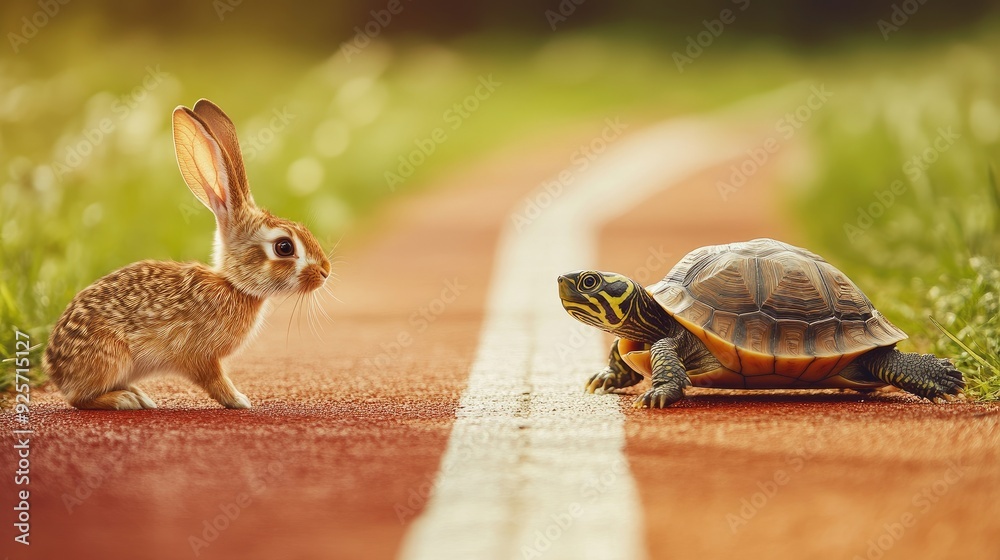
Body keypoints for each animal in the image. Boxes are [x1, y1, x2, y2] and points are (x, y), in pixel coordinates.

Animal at [42, 99, 331, 410]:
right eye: (284, 247)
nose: (325, 271)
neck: (233, 286)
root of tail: (55, 369)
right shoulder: (199, 355)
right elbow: (214, 380)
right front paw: (239, 400)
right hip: (111, 357)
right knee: (79, 398)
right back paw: (126, 400)